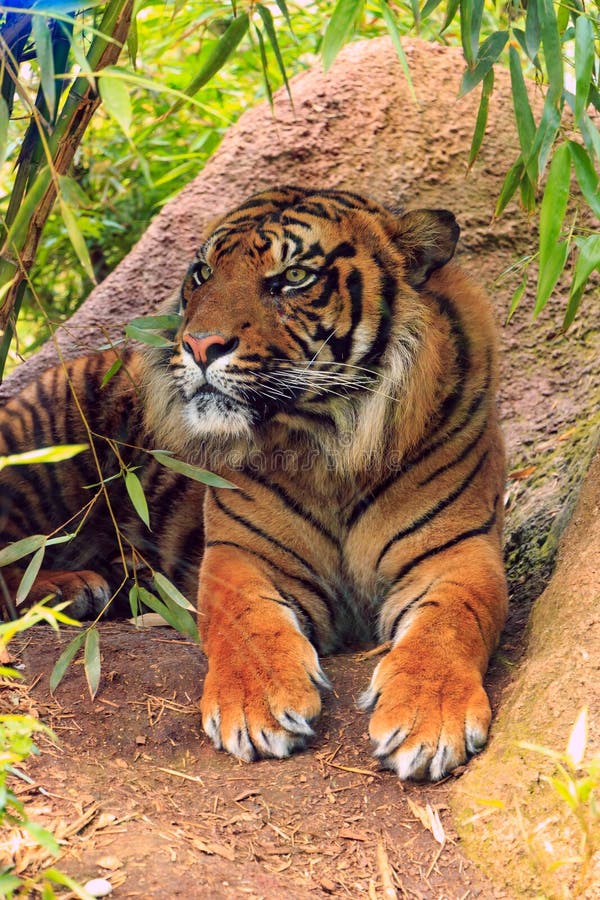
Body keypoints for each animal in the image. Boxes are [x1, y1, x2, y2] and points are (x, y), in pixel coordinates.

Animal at [0, 186, 508, 781]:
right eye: (202, 273)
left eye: (293, 277)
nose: (200, 345)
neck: (328, 442)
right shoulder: (240, 553)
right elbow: (245, 619)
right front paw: (258, 705)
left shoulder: (459, 551)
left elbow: (450, 622)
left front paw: (427, 718)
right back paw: (72, 587)